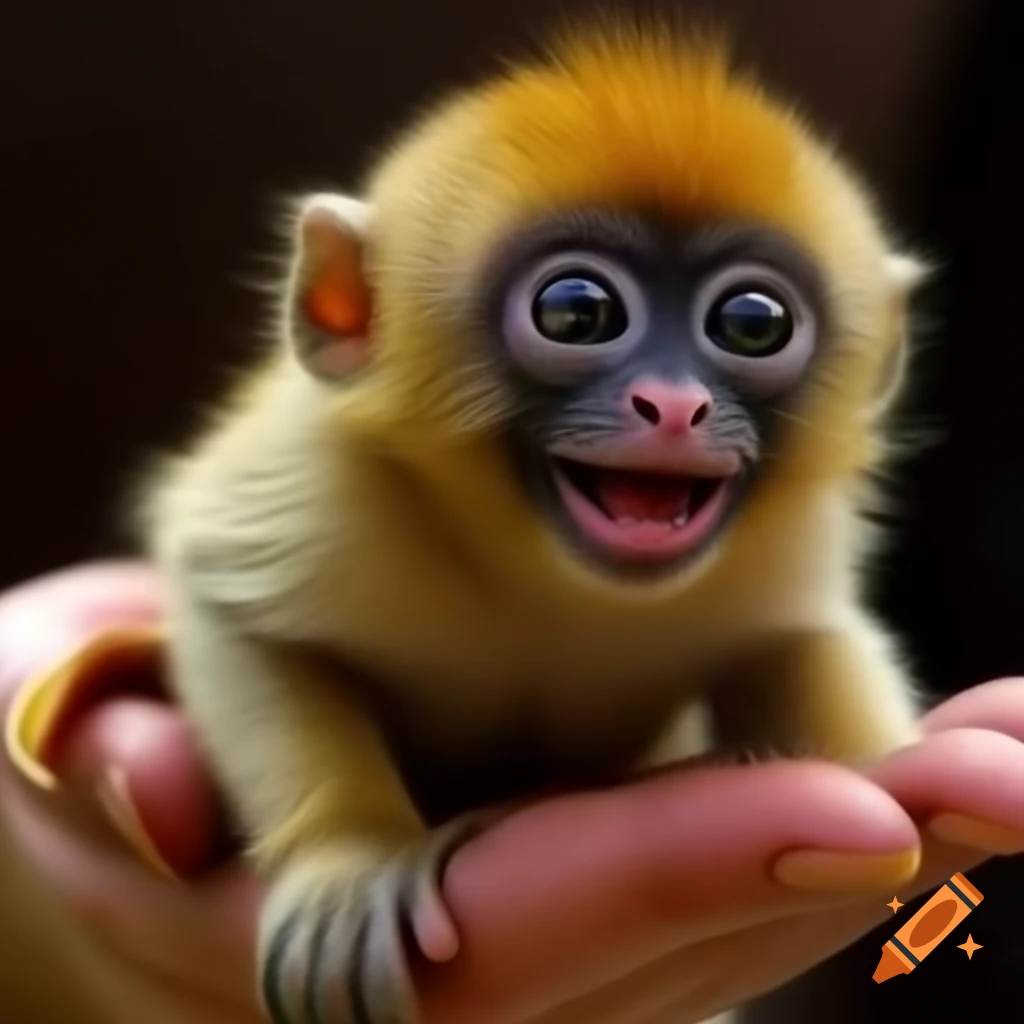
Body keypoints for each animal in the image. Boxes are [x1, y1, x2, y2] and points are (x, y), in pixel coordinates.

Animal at [140, 22, 927, 1024]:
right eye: (577, 311)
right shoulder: (316, 483)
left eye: (752, 322)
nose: (674, 406)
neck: (541, 564)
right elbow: (231, 618)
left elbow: (801, 642)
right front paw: (346, 859)